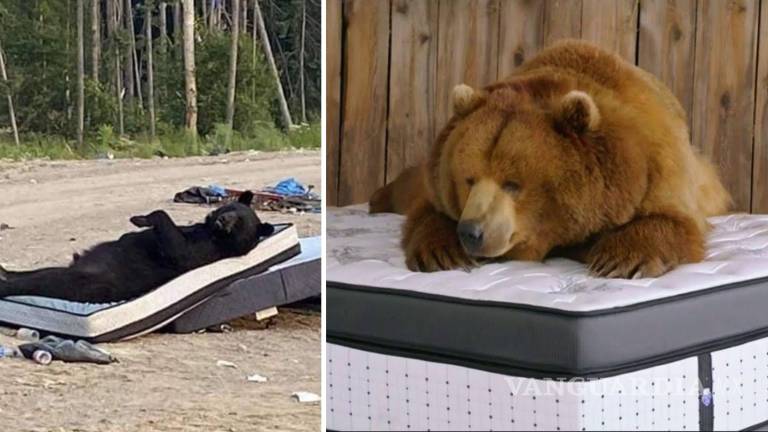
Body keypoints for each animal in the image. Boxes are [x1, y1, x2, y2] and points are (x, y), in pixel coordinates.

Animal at [0, 192, 275, 303]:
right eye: (232, 208)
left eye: (240, 223)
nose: (222, 219)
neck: (215, 236)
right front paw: (132, 229)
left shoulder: (199, 253)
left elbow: (175, 244)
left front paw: (139, 219)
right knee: (37, 273)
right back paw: (5, 271)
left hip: (83, 280)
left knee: (42, 281)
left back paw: (5, 284)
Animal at [370, 40, 731, 279]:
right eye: (468, 179)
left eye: (513, 183)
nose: (471, 232)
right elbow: (428, 211)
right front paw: (441, 252)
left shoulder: (656, 163)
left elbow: (673, 221)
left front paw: (619, 259)